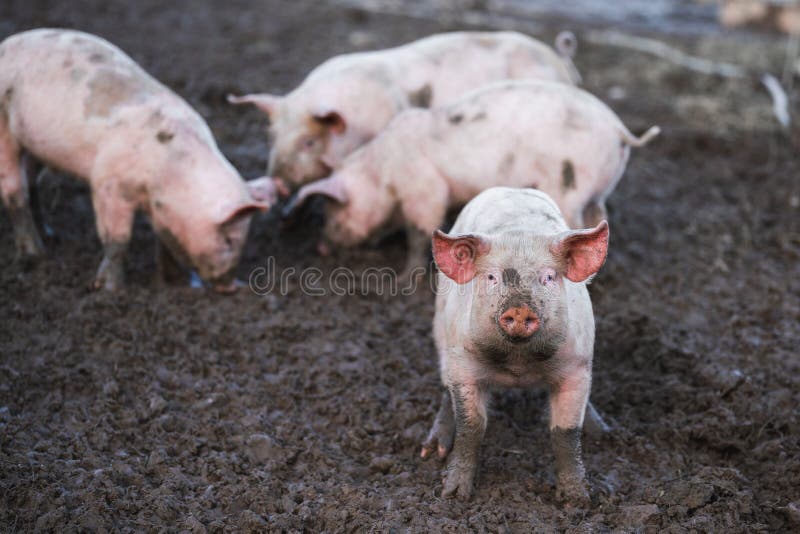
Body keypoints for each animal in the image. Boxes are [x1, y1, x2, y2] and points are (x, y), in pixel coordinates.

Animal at [0, 29, 278, 291]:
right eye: (229, 239)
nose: (231, 286)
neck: (170, 173)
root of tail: (6, 44)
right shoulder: (107, 183)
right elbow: (117, 239)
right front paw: (110, 289)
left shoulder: (161, 208)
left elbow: (165, 241)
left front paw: (180, 284)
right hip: (5, 130)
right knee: (14, 191)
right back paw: (35, 254)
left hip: (35, 146)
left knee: (32, 181)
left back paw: (50, 235)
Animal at [285, 80, 657, 277]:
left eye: (335, 210)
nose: (320, 248)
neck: (384, 173)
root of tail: (619, 129)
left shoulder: (424, 188)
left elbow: (422, 230)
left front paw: (406, 276)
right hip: (598, 192)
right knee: (599, 219)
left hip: (570, 188)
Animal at [420, 186, 609, 501]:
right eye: (492, 277)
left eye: (548, 277)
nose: (519, 308)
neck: (518, 366)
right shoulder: (464, 361)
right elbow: (470, 427)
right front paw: (453, 494)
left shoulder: (577, 364)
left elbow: (566, 434)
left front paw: (578, 499)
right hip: (440, 327)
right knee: (446, 384)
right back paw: (431, 450)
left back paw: (605, 432)